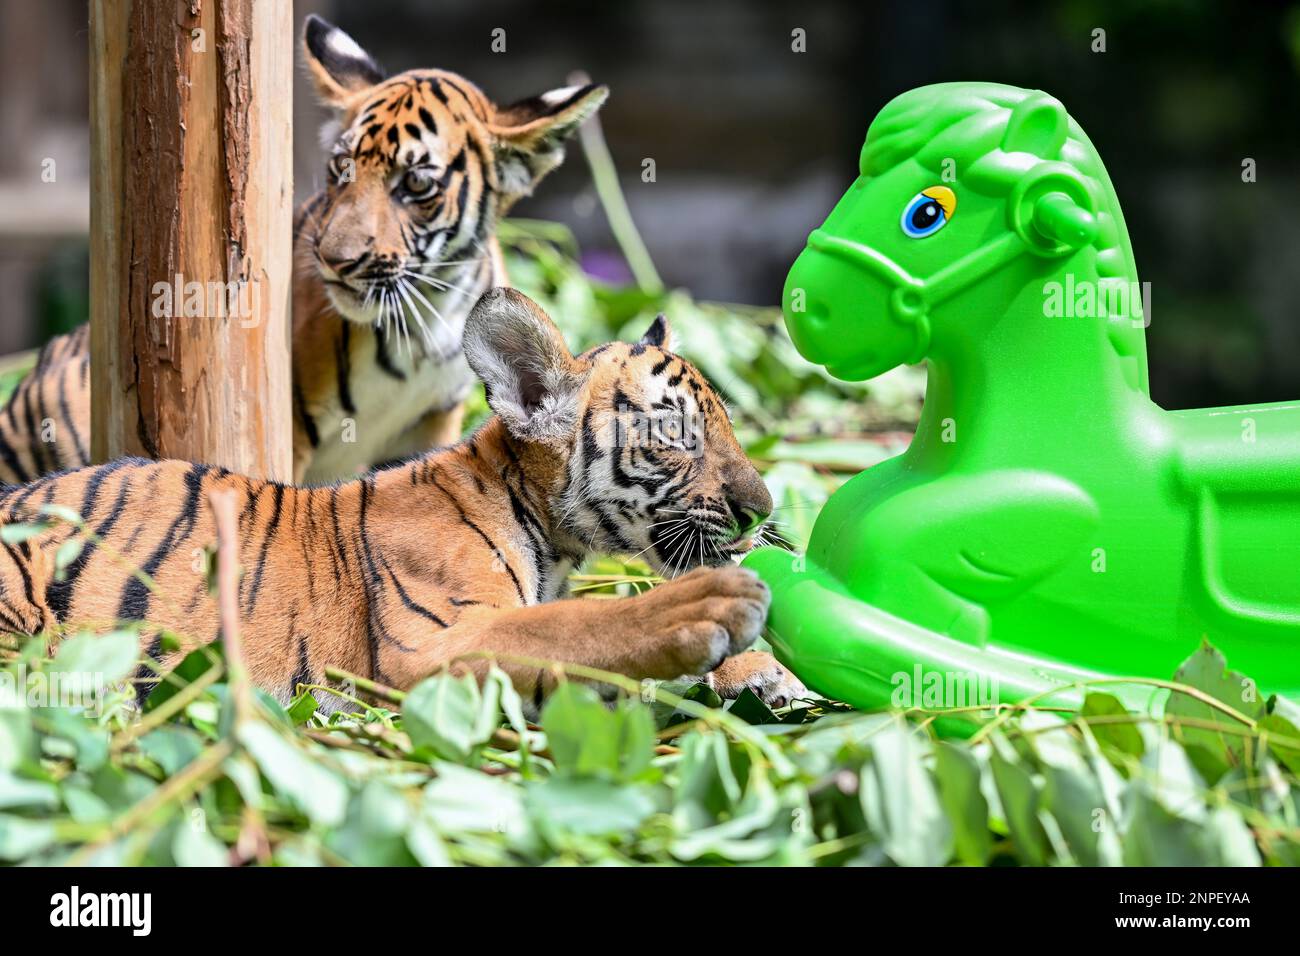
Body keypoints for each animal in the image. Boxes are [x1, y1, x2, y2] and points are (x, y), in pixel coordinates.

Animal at [0, 14, 607, 486]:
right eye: (341, 168)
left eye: (416, 184)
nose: (336, 261)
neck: (431, 308)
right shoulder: (290, 429)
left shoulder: (430, 423)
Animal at [0, 290, 805, 713]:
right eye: (674, 435)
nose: (761, 510)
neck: (551, 537)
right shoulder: (435, 647)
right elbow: (576, 627)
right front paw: (715, 608)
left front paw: (765, 673)